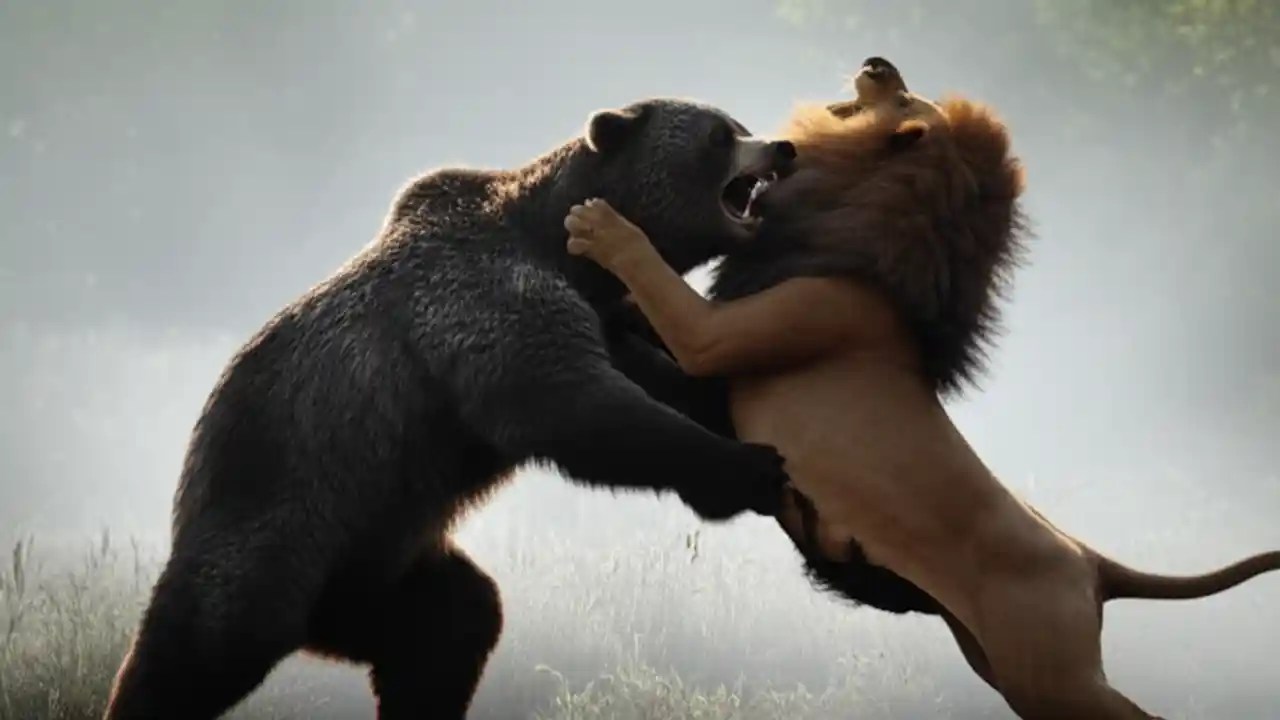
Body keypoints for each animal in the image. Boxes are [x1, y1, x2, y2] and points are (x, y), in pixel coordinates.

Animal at [101, 98, 798, 720]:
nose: (782, 148)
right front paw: (748, 468)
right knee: (202, 644)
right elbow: (571, 408)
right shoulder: (487, 302)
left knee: (451, 628)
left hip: (386, 567)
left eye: (737, 123)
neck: (562, 250)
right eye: (720, 134)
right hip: (278, 518)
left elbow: (663, 379)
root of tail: (317, 628)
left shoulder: (603, 319)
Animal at [563, 58, 1280, 720]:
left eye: (907, 100)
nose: (877, 63)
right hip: (1003, 665)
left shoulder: (719, 335)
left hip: (1052, 674)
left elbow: (657, 279)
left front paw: (600, 227)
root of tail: (1089, 560)